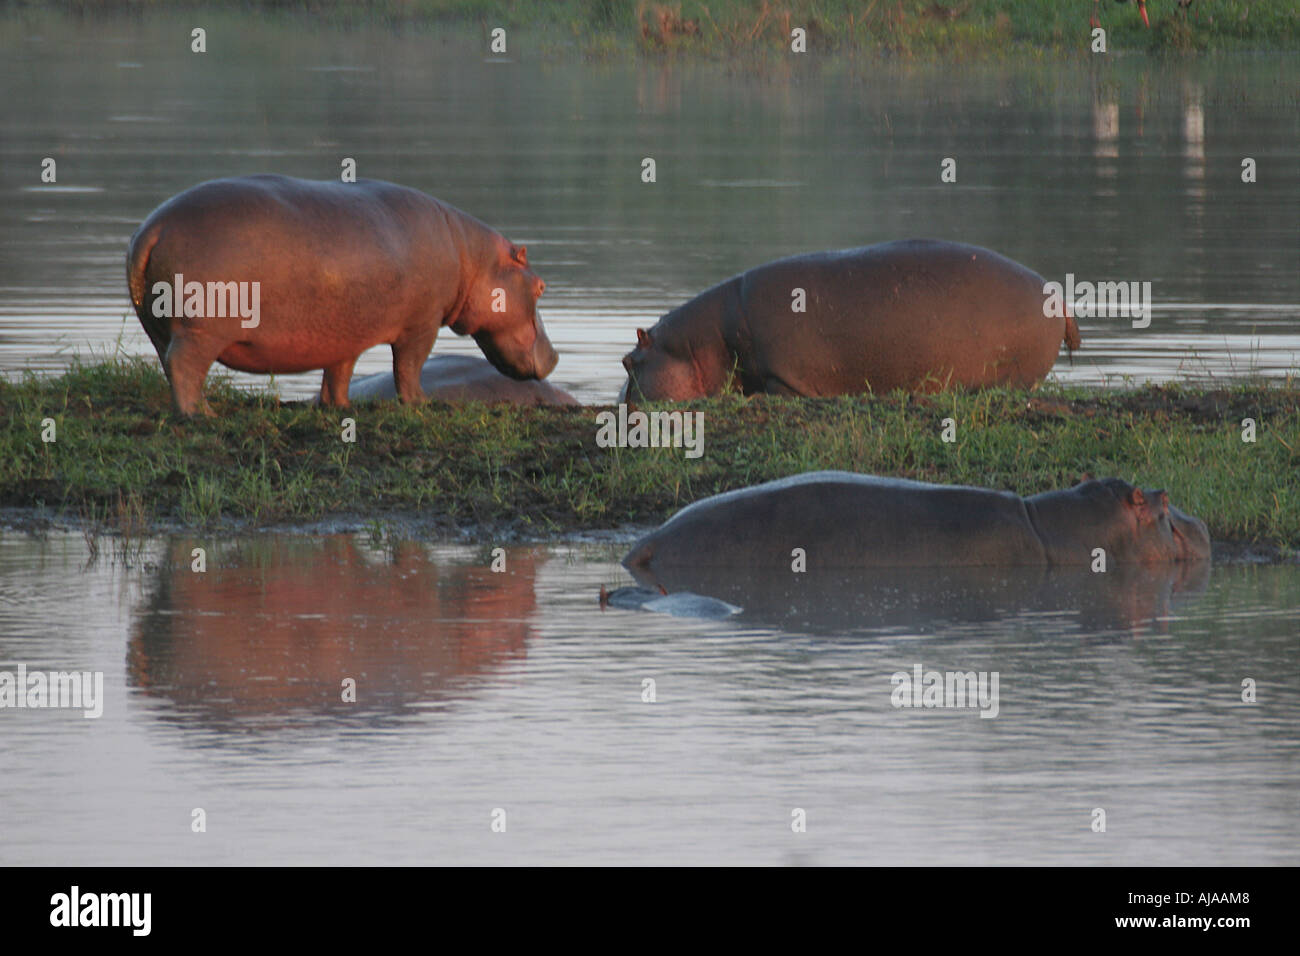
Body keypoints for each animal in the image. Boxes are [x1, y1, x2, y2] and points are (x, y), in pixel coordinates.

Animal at [127, 175, 557, 416]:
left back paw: (199, 408)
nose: (554, 357)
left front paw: (340, 408)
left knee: (169, 363)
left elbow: (340, 372)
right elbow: (409, 366)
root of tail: (153, 228)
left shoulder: (346, 333)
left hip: (160, 326)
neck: (473, 258)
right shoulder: (422, 324)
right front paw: (422, 404)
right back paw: (201, 415)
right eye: (540, 285)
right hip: (200, 330)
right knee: (184, 365)